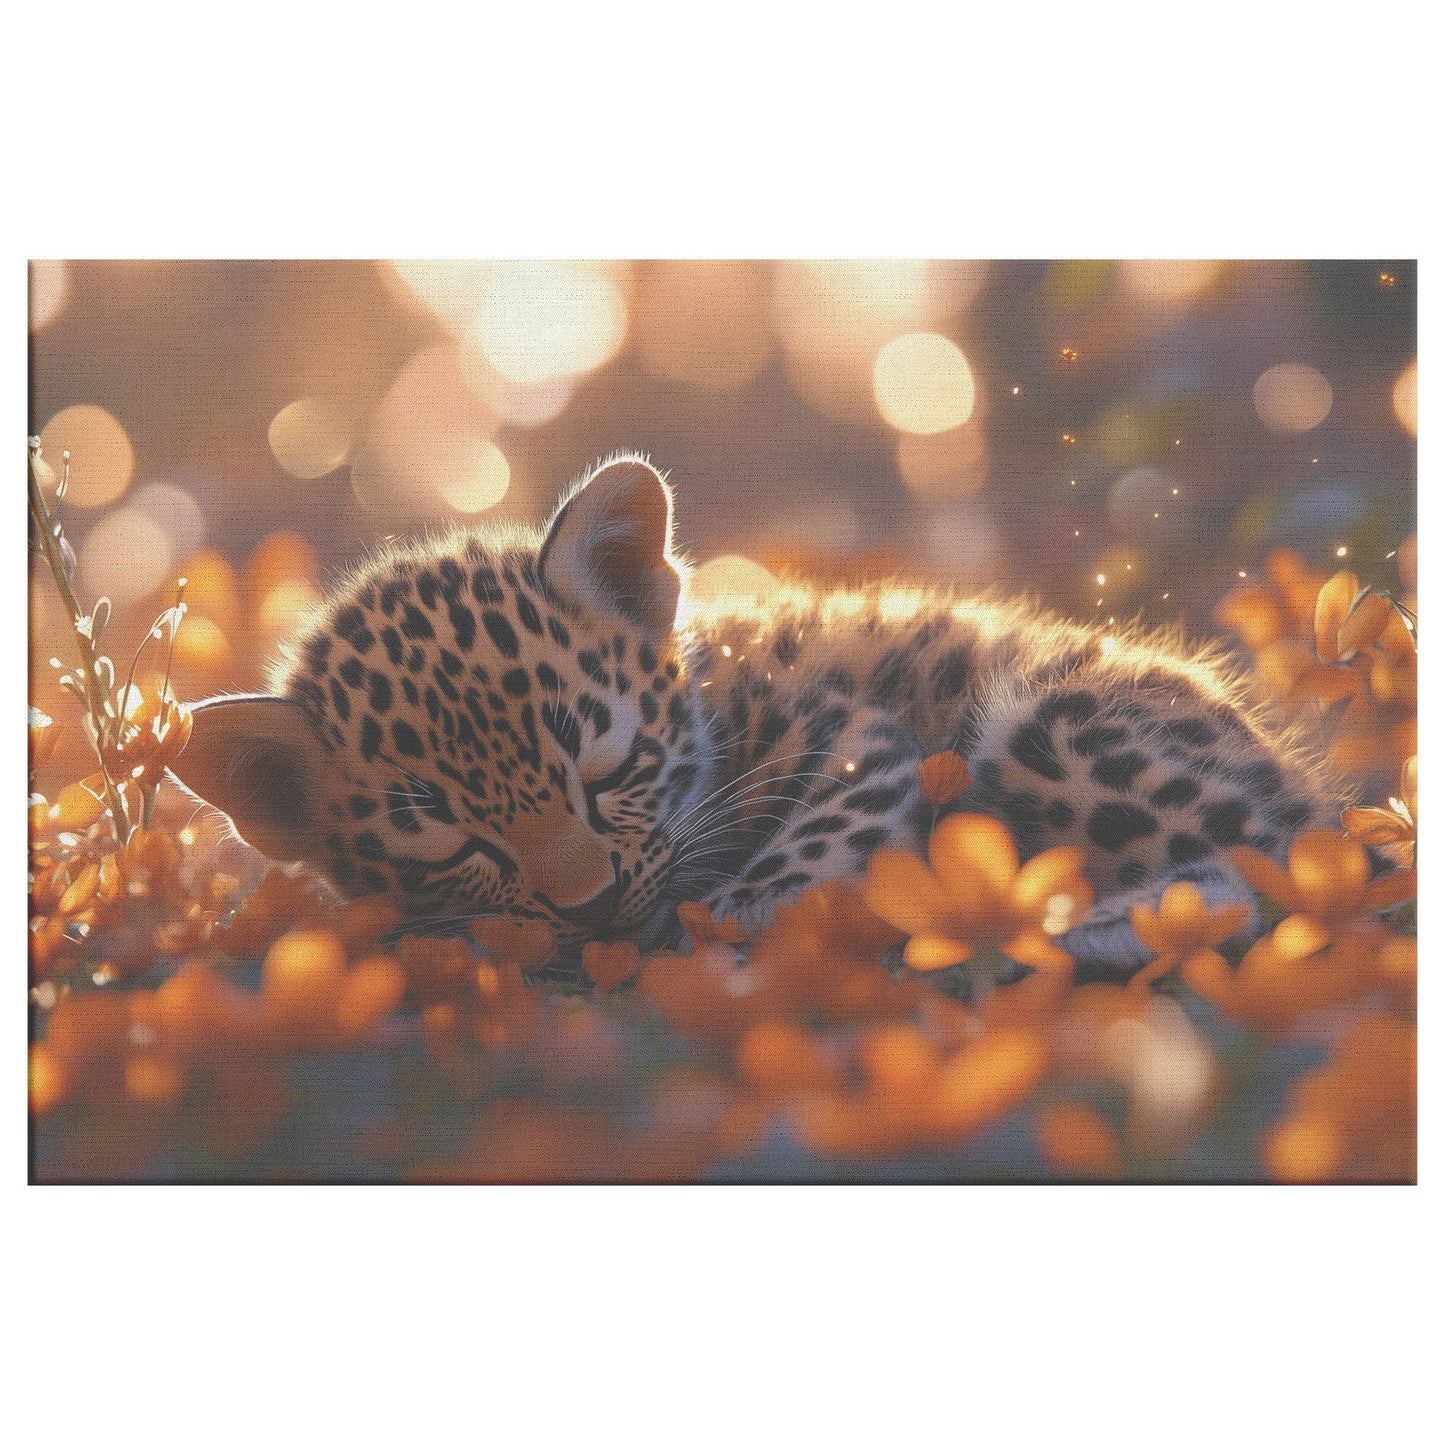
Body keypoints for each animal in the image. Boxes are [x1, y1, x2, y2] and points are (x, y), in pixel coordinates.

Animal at [172, 454, 1347, 978]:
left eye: (607, 771)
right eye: (453, 845)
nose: (594, 909)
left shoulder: (858, 742)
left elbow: (788, 863)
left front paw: (733, 920)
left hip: (1047, 721)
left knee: (1282, 860)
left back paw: (1094, 919)